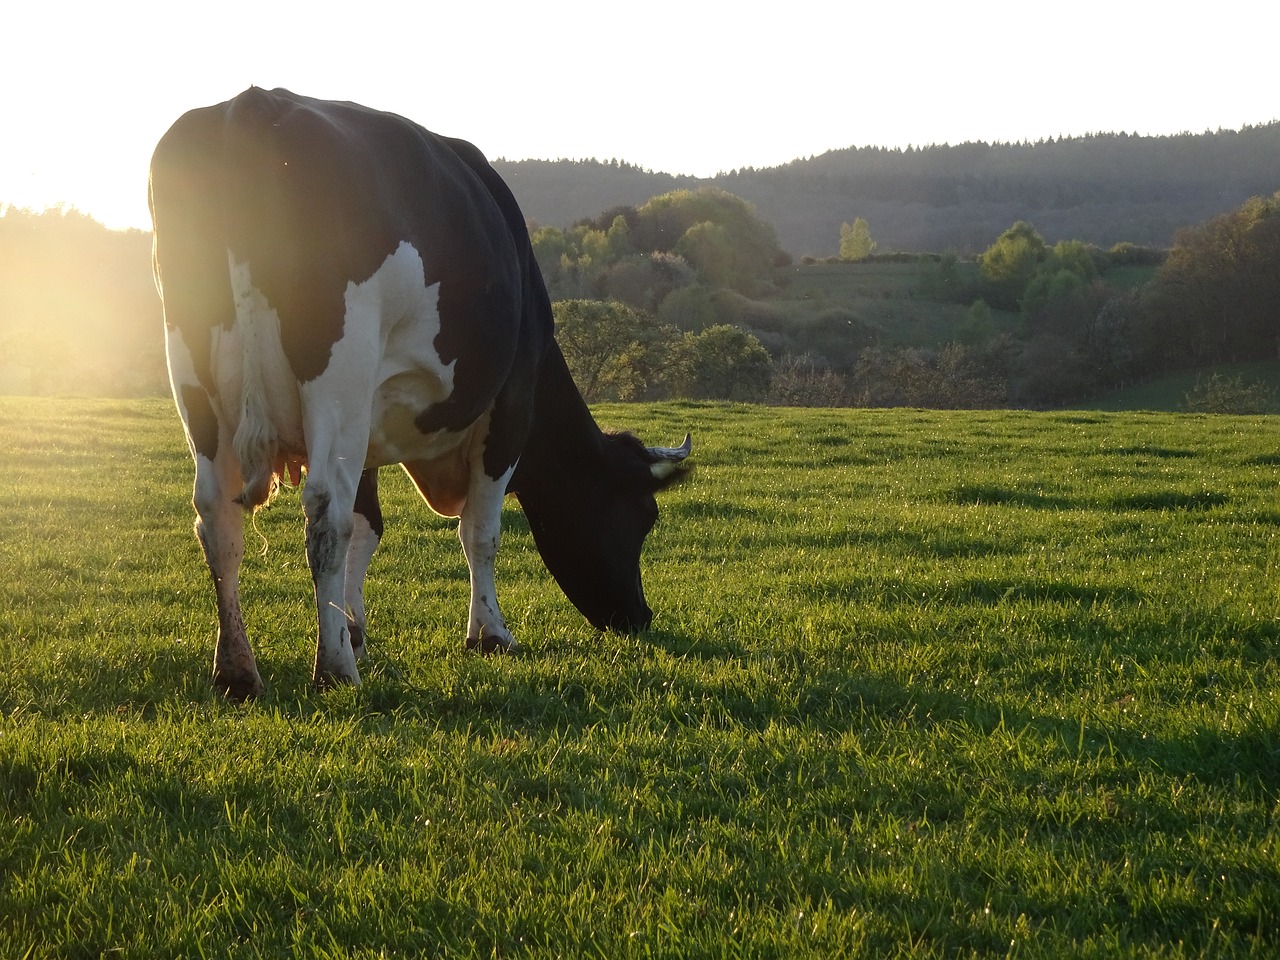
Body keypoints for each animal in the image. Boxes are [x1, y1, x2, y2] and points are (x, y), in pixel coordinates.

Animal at [149, 87, 691, 700]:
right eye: (642, 515)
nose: (639, 616)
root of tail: (257, 104)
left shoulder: (366, 421)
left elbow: (368, 528)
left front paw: (355, 627)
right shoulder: (510, 406)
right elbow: (480, 530)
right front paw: (488, 634)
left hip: (194, 380)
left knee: (218, 516)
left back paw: (237, 670)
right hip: (336, 375)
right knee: (323, 514)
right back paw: (333, 669)